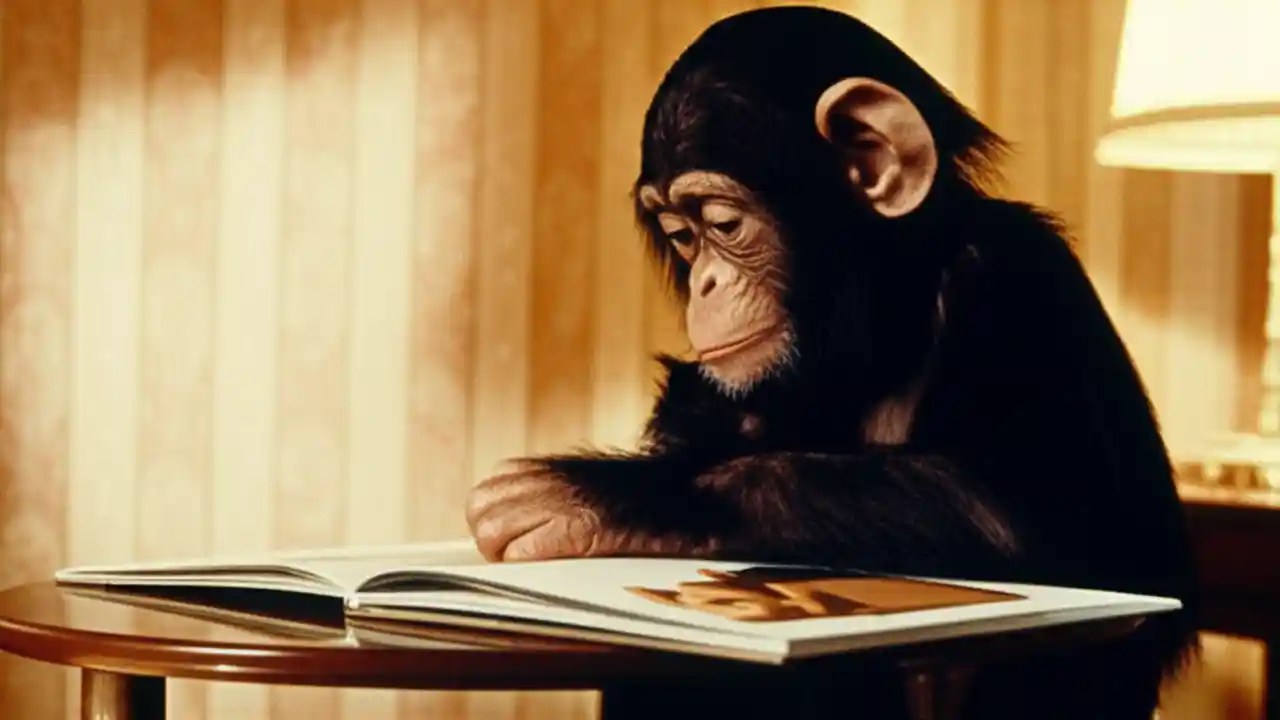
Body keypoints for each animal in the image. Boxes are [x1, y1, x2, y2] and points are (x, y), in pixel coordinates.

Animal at [465, 7, 1197, 719]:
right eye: (680, 235)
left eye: (723, 224)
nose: (704, 283)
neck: (887, 330)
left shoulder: (1012, 279)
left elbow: (1023, 513)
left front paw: (580, 496)